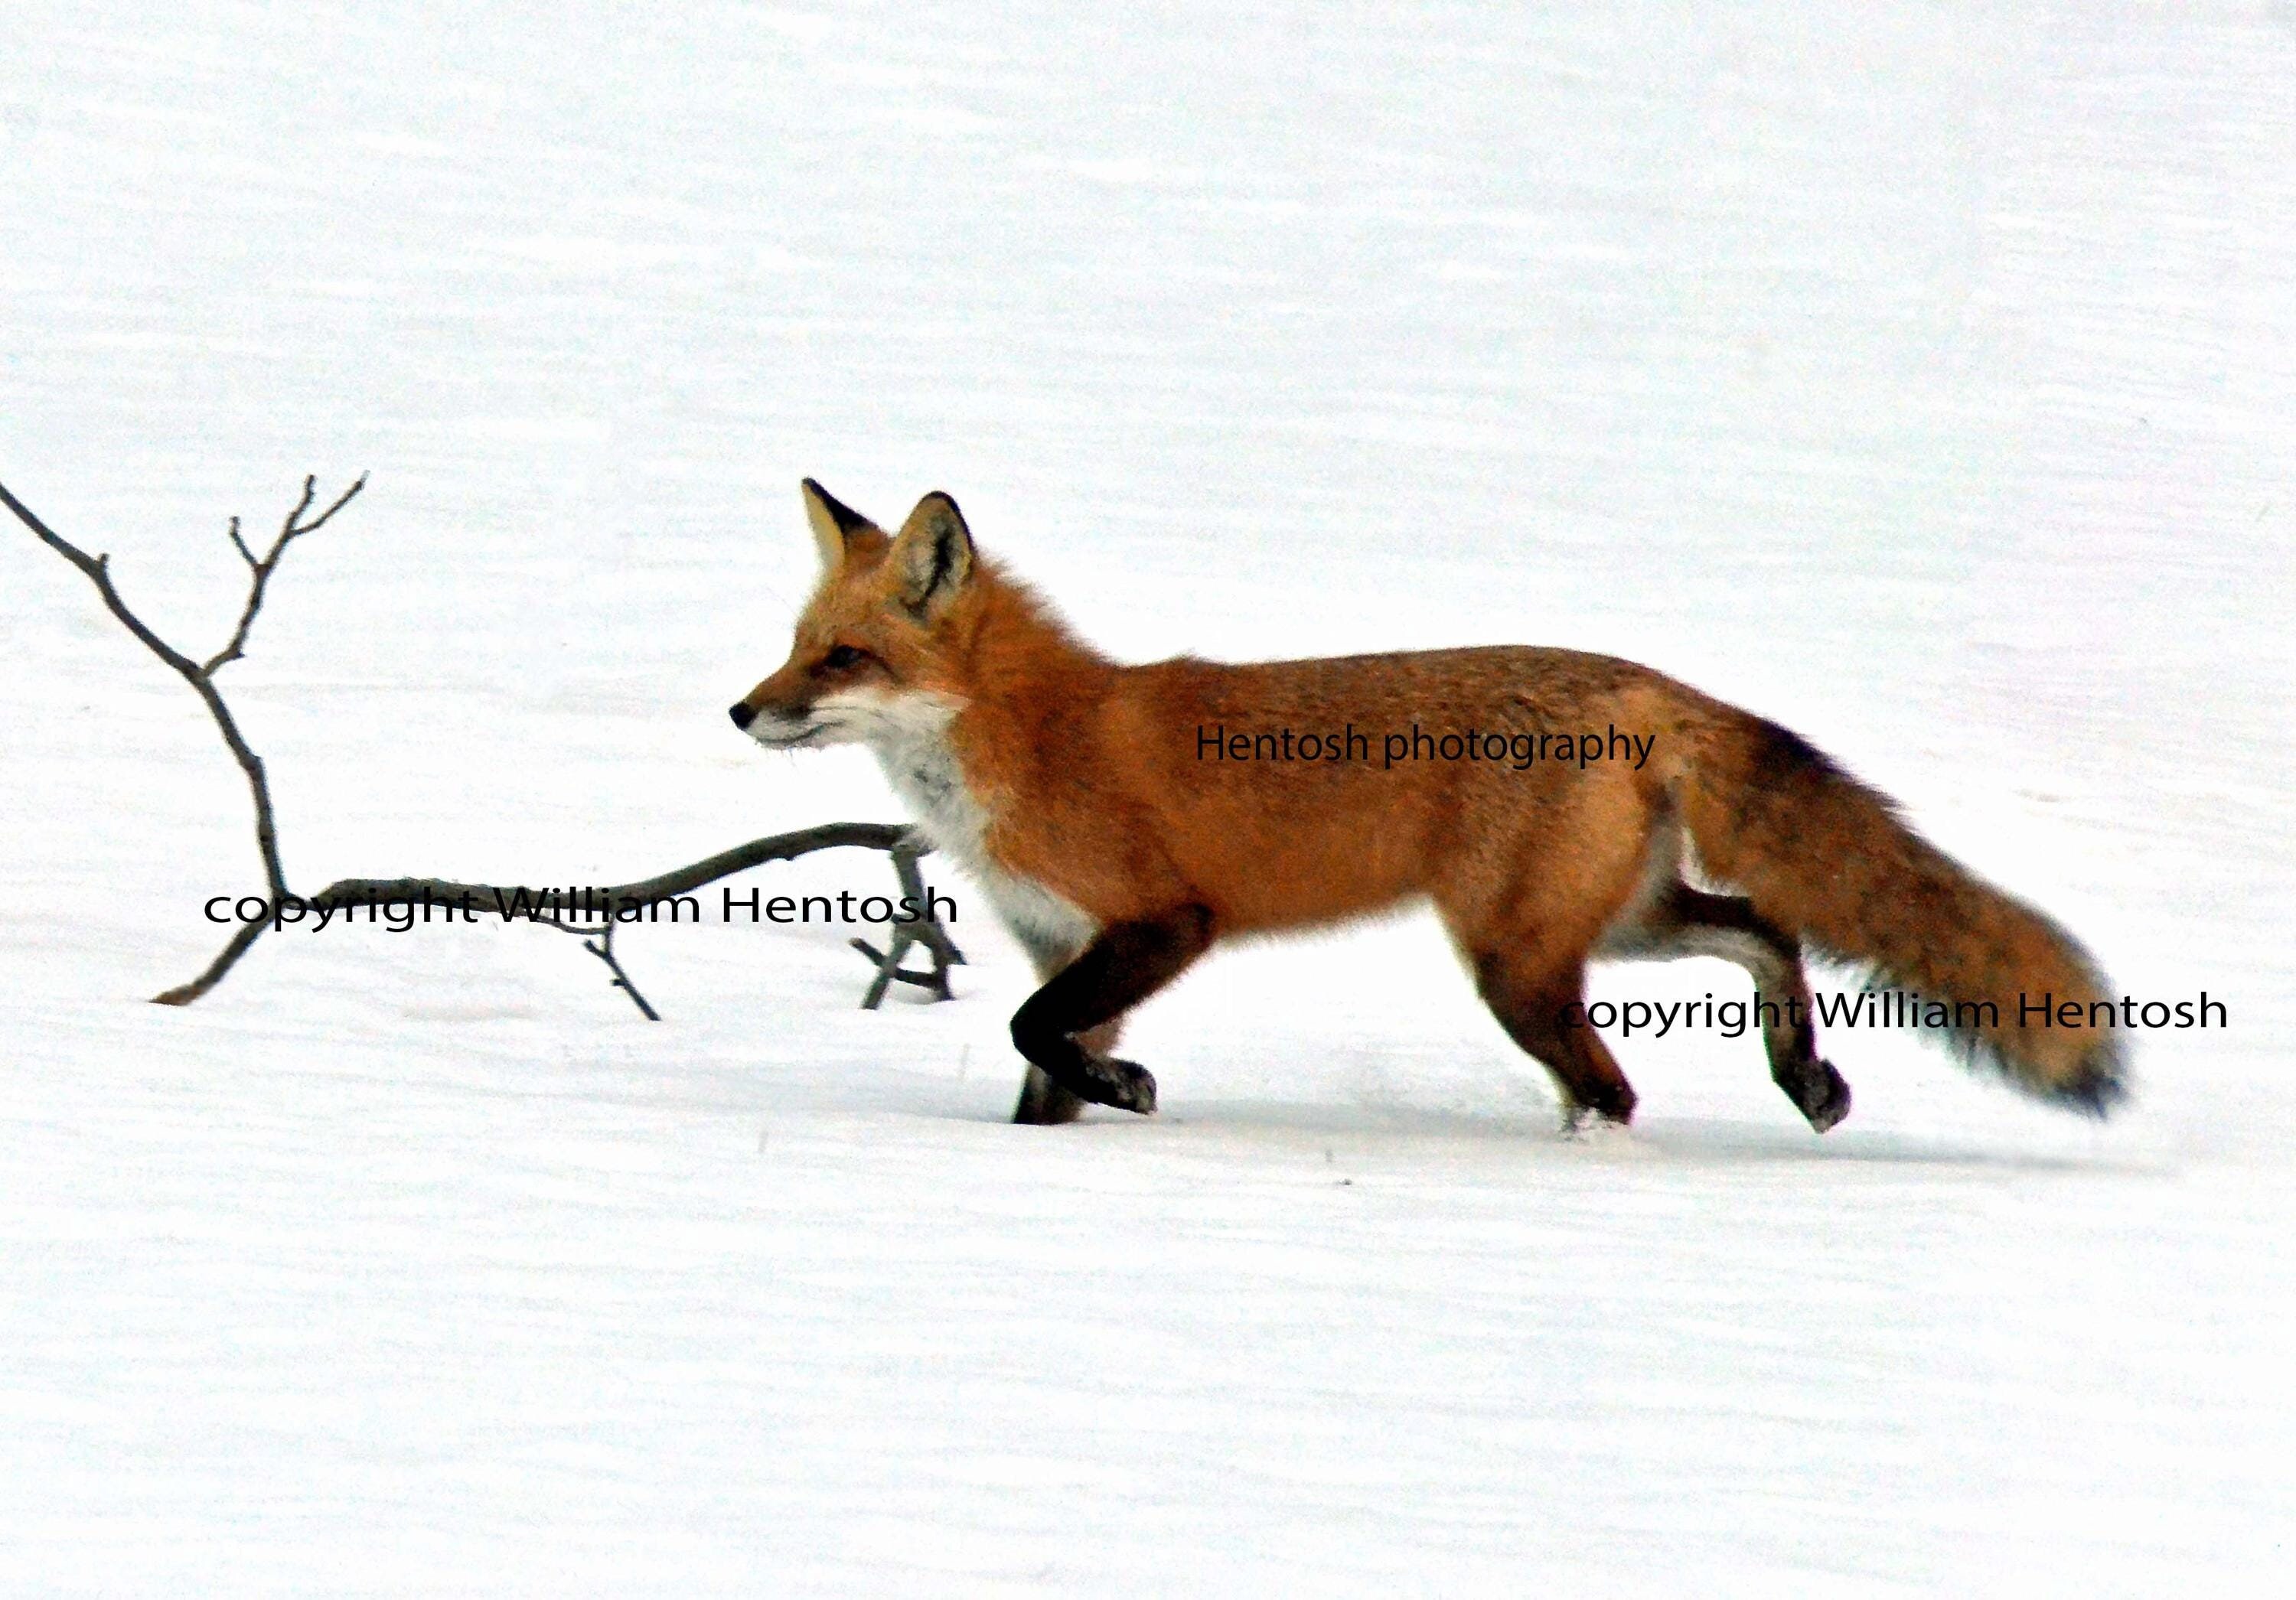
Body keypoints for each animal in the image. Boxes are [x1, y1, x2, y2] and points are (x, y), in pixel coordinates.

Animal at [731, 481, 2126, 1132]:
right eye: (795, 645)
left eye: (843, 660)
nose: (743, 713)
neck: (1027, 739)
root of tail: (1647, 679)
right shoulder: (1073, 948)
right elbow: (1040, 1077)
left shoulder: (1159, 922)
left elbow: (1035, 1032)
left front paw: (1127, 1089)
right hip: (1609, 926)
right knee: (1766, 931)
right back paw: (1807, 1074)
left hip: (1517, 963)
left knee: (1620, 1082)